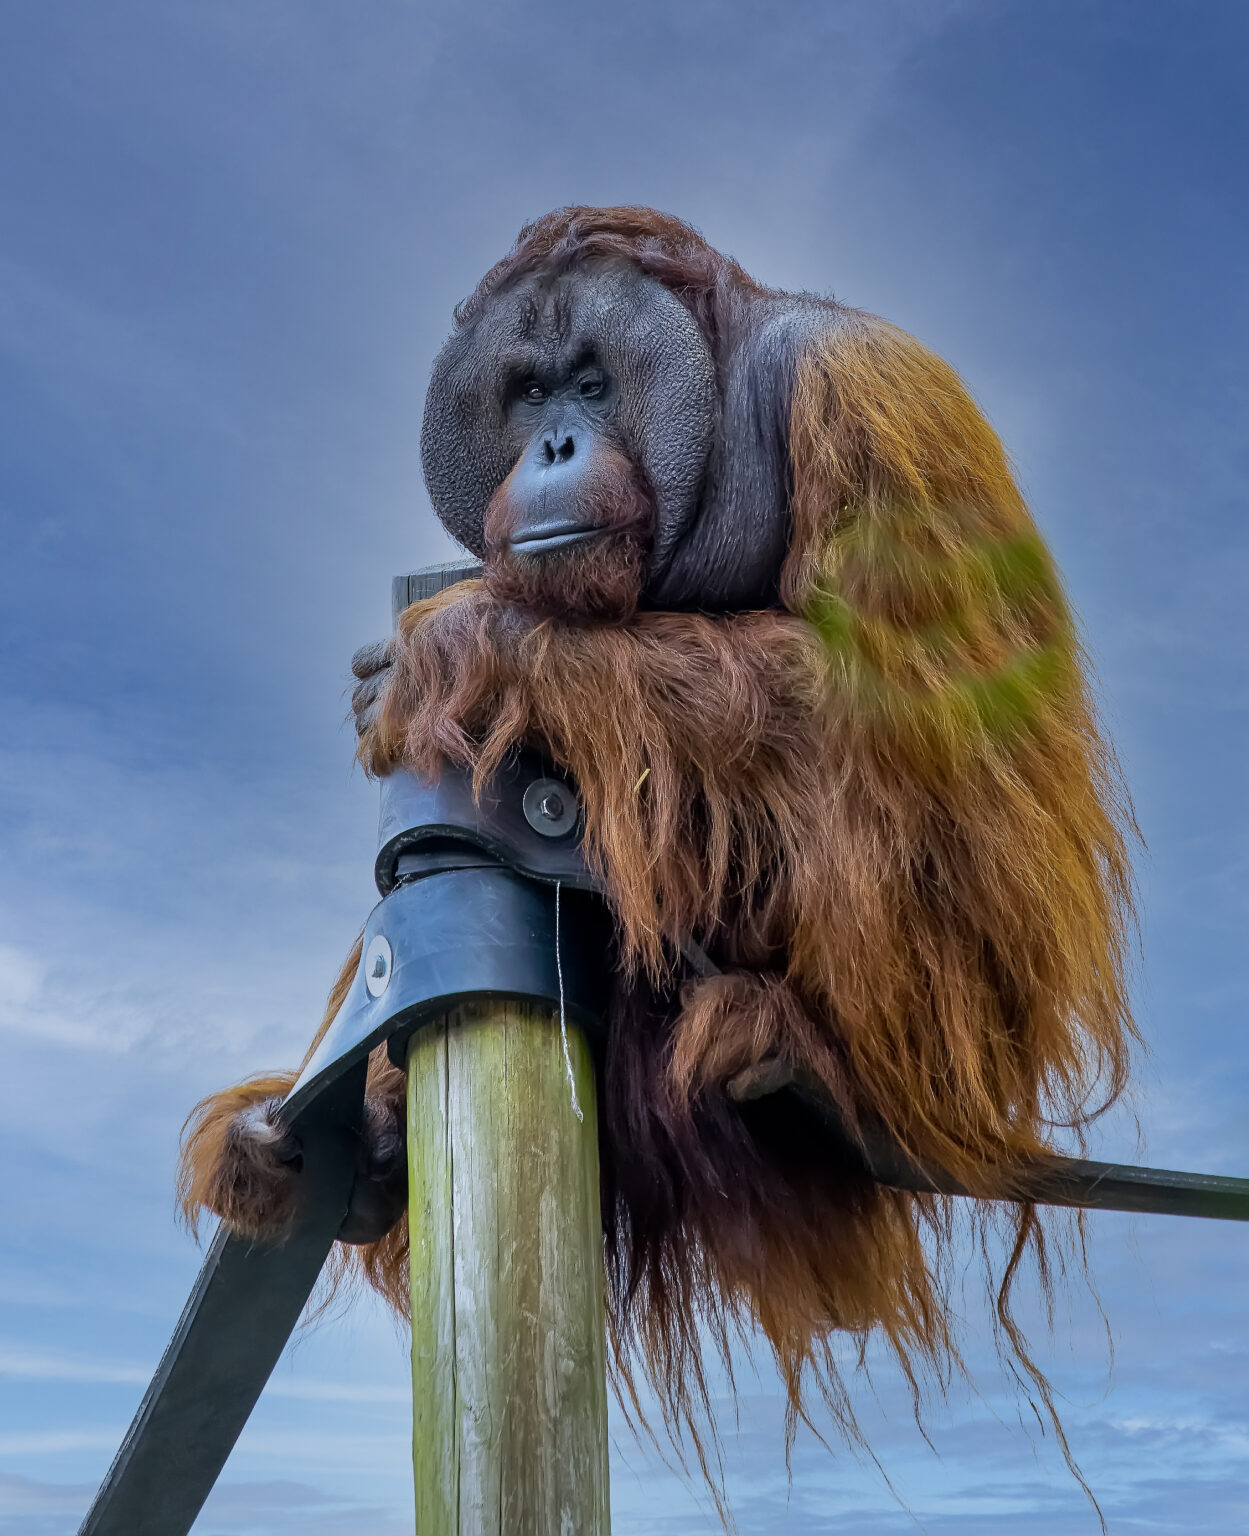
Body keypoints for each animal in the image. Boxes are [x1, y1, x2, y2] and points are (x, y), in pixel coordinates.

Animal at [181, 206, 1136, 1475]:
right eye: (528, 392)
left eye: (593, 383)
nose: (552, 445)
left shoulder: (863, 393)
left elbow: (900, 692)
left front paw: (460, 642)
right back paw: (368, 1148)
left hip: (973, 1042)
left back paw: (793, 1047)